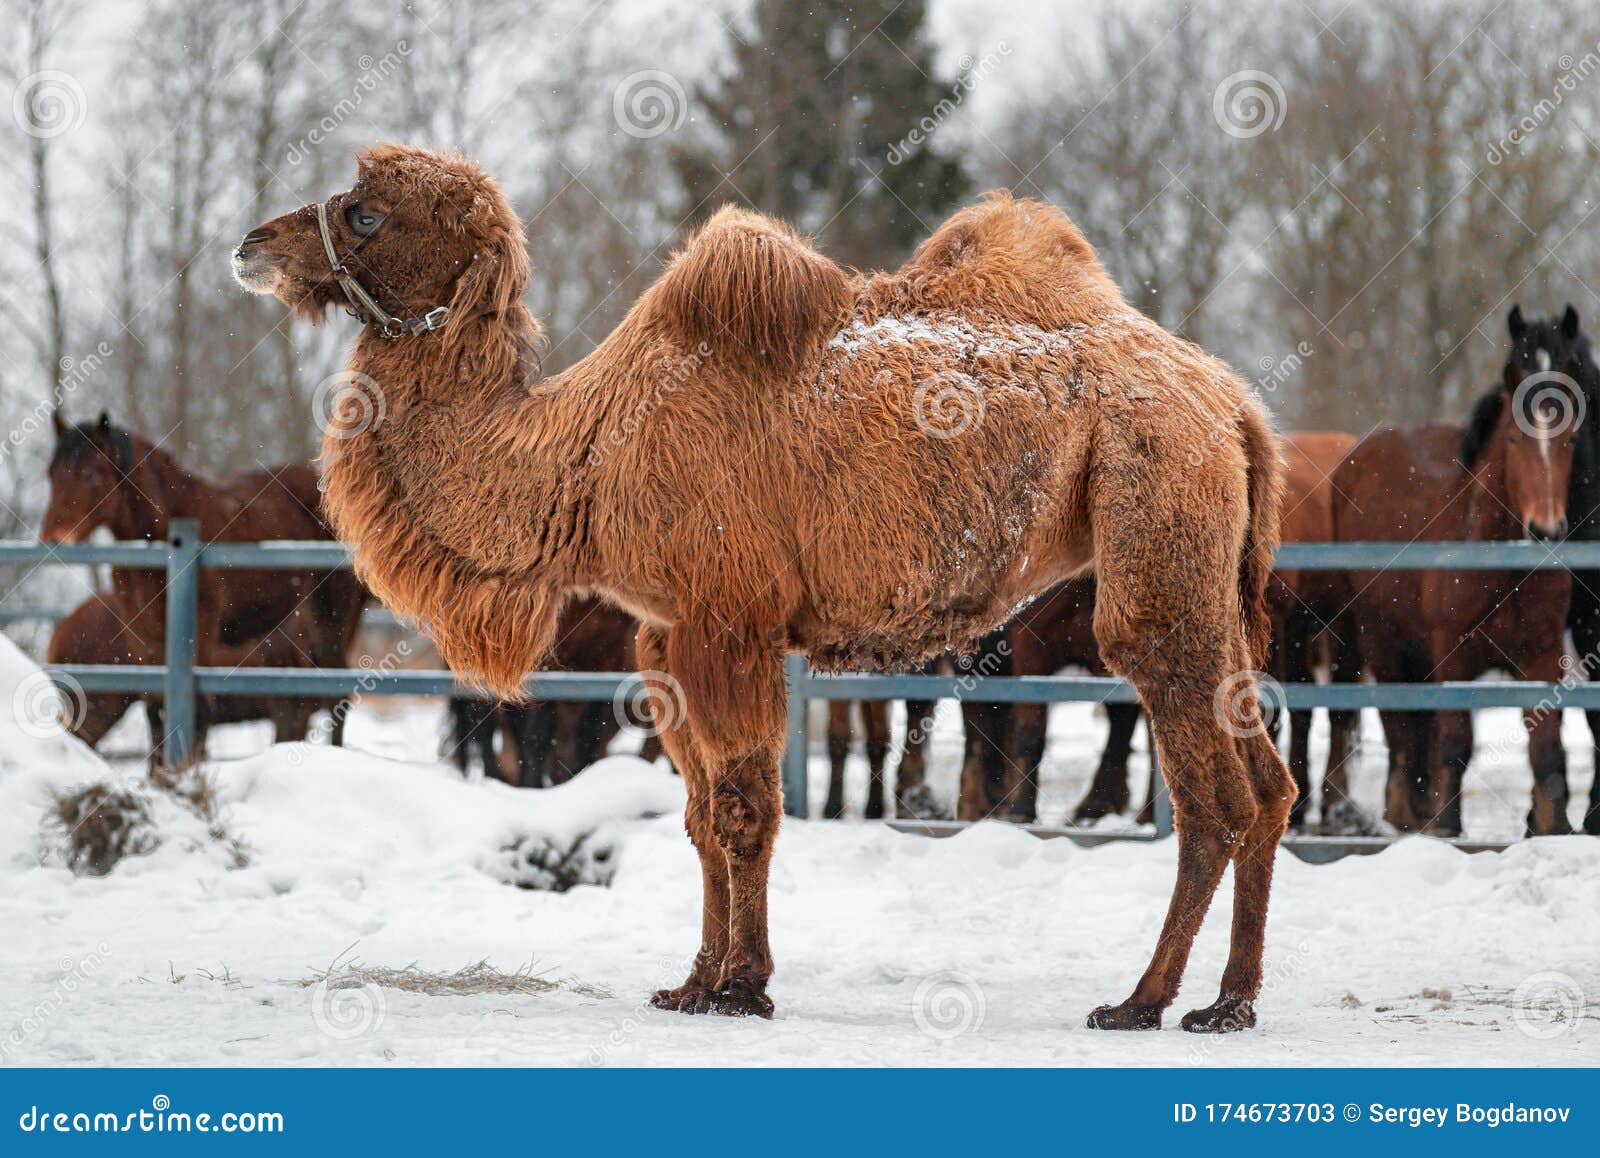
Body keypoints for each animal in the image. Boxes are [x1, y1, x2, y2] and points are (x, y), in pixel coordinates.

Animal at [235, 145, 1291, 1032]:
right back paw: (1230, 1003)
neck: (589, 458)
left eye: (366, 213)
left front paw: (742, 988)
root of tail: (1233, 401)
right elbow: (702, 817)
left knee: (1210, 794)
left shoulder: (727, 617)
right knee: (1268, 783)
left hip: (1156, 532)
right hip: (1206, 569)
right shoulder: (663, 635)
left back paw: (1144, 1002)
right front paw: (690, 982)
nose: (253, 245)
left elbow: (746, 807)